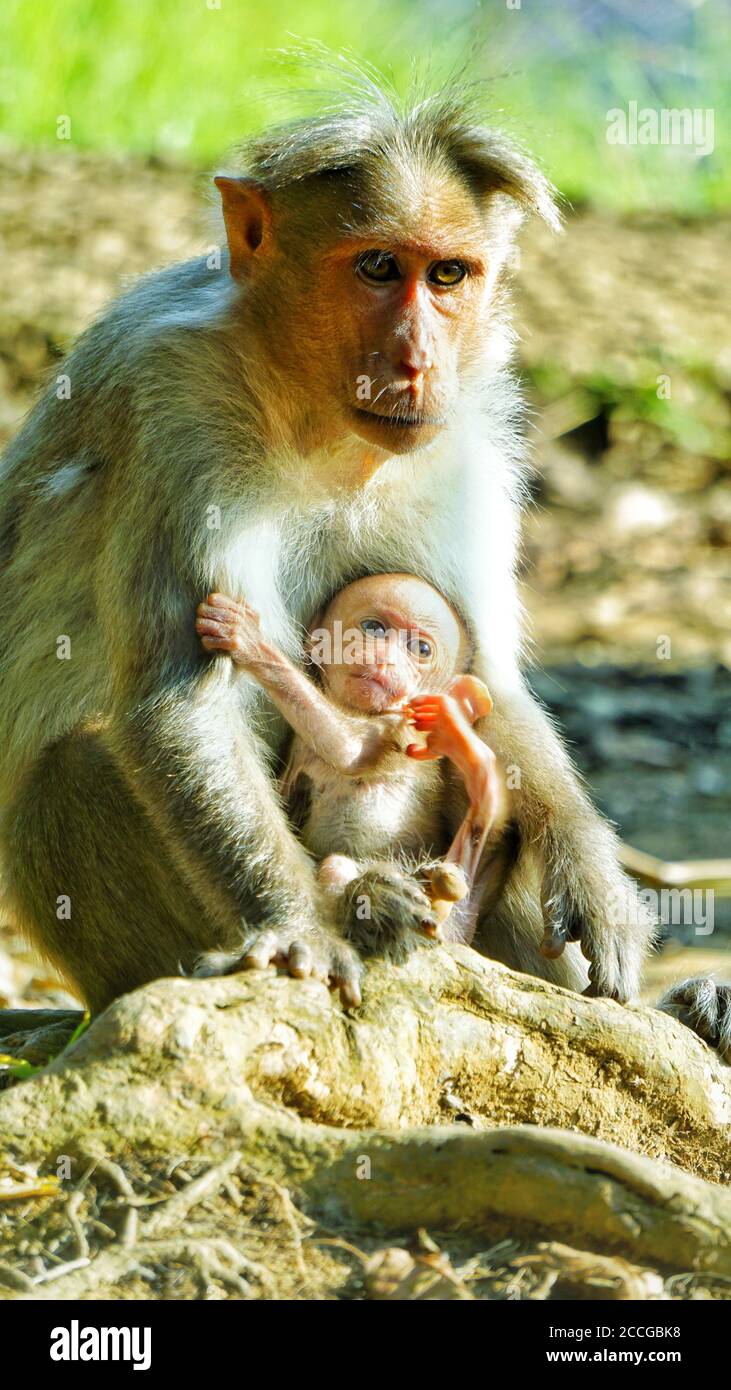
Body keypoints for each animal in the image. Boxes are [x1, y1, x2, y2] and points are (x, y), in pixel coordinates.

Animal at [193, 574, 504, 966]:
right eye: (373, 628)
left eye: (421, 649)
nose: (385, 661)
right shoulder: (301, 750)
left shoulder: (401, 726)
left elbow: (350, 751)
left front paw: (250, 641)